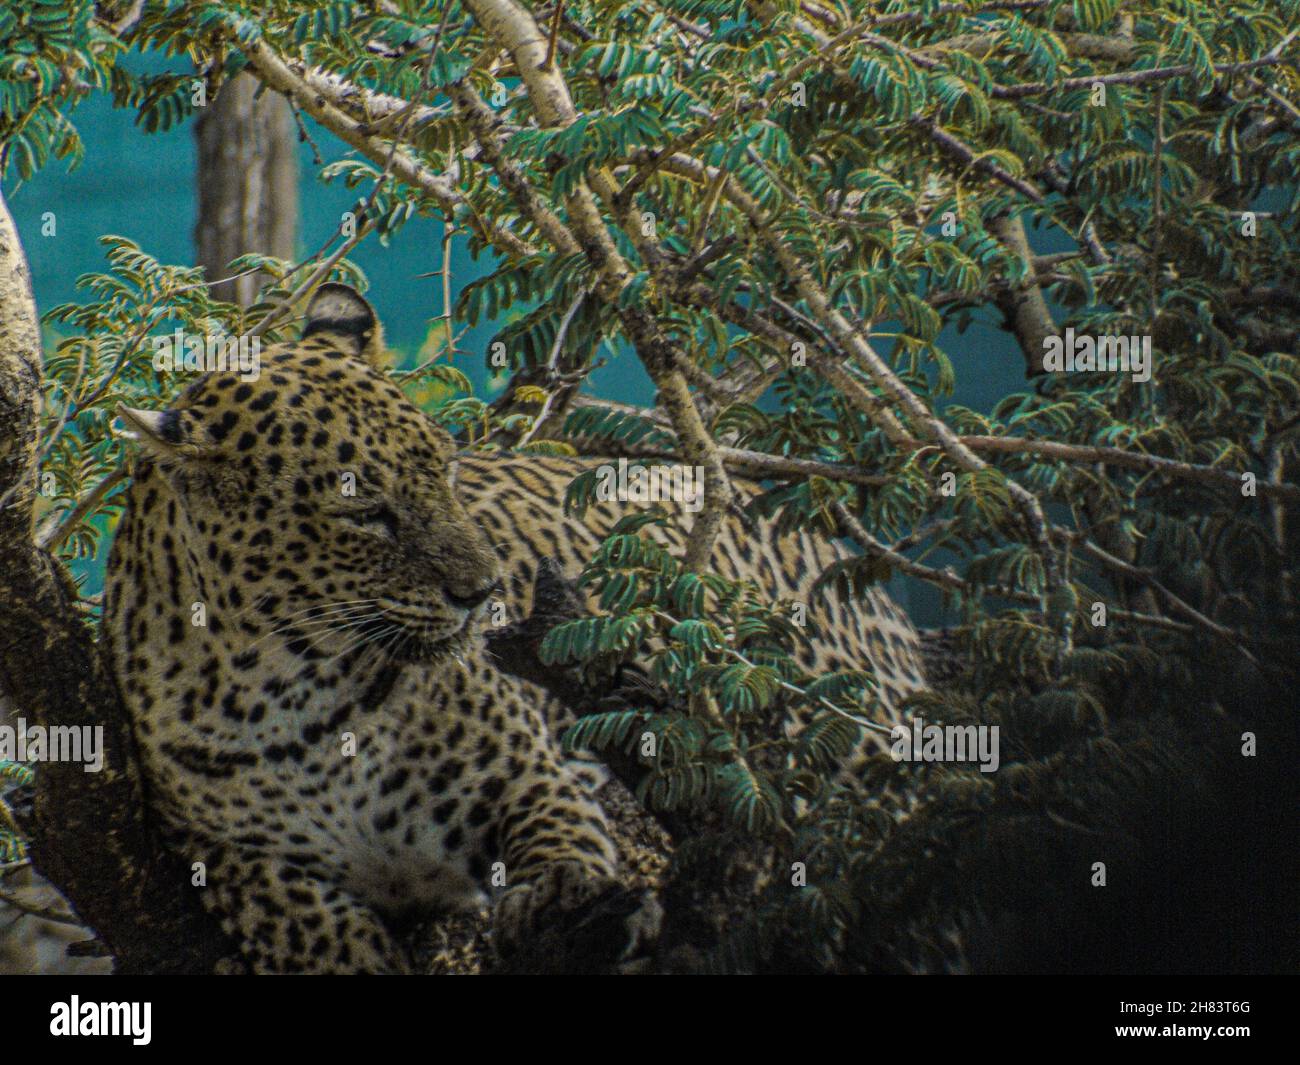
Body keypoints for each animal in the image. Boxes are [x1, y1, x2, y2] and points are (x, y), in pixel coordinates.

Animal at [104, 283, 927, 974]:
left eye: (446, 467)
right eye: (365, 512)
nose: (484, 591)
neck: (288, 685)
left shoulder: (528, 777)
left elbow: (562, 846)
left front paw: (563, 902)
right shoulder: (224, 854)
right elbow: (307, 927)